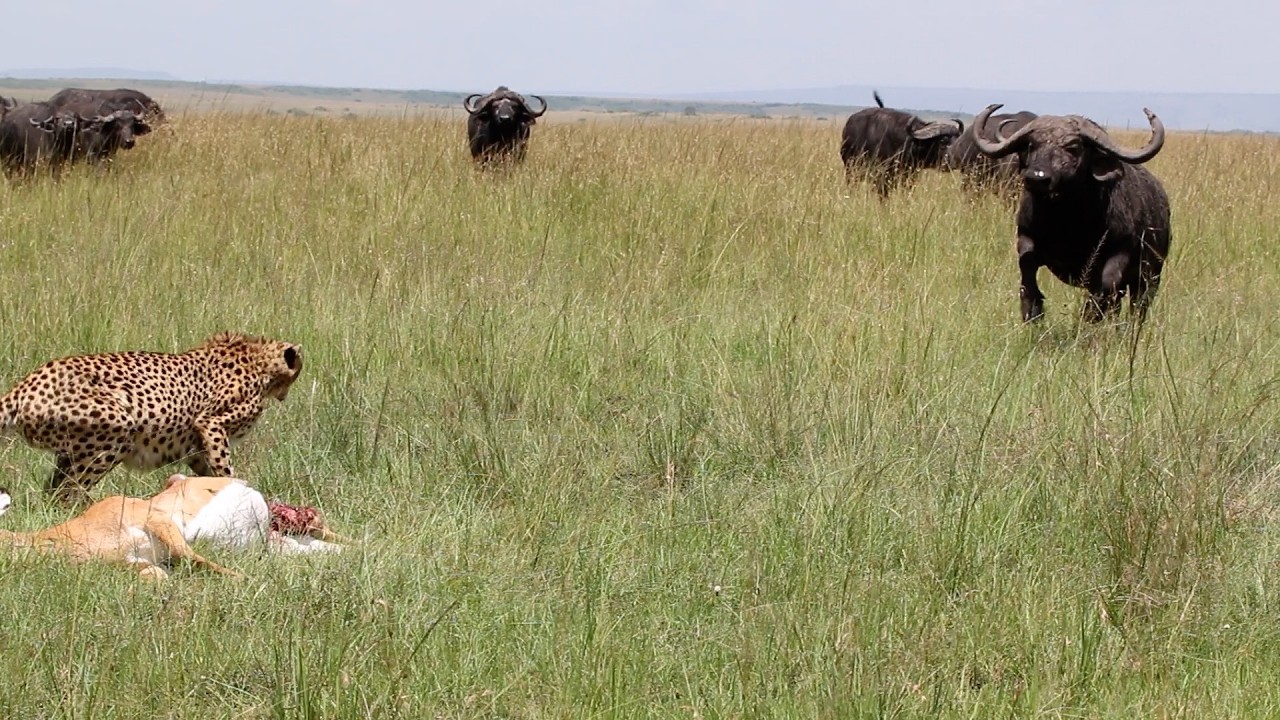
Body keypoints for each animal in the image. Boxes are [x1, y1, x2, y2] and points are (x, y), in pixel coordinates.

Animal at [0, 332, 302, 505]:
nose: (285, 396)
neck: (258, 360)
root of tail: (24, 385)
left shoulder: (195, 447)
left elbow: (207, 471)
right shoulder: (211, 424)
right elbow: (225, 471)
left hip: (75, 447)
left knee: (53, 489)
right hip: (115, 431)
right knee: (66, 492)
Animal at [971, 104, 1170, 324]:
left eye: (1073, 147)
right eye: (1031, 145)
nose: (1037, 177)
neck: (1066, 220)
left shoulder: (1120, 251)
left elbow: (1106, 284)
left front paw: (1090, 314)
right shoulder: (1026, 235)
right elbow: (1027, 266)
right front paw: (1033, 309)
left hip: (1150, 277)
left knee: (1137, 307)